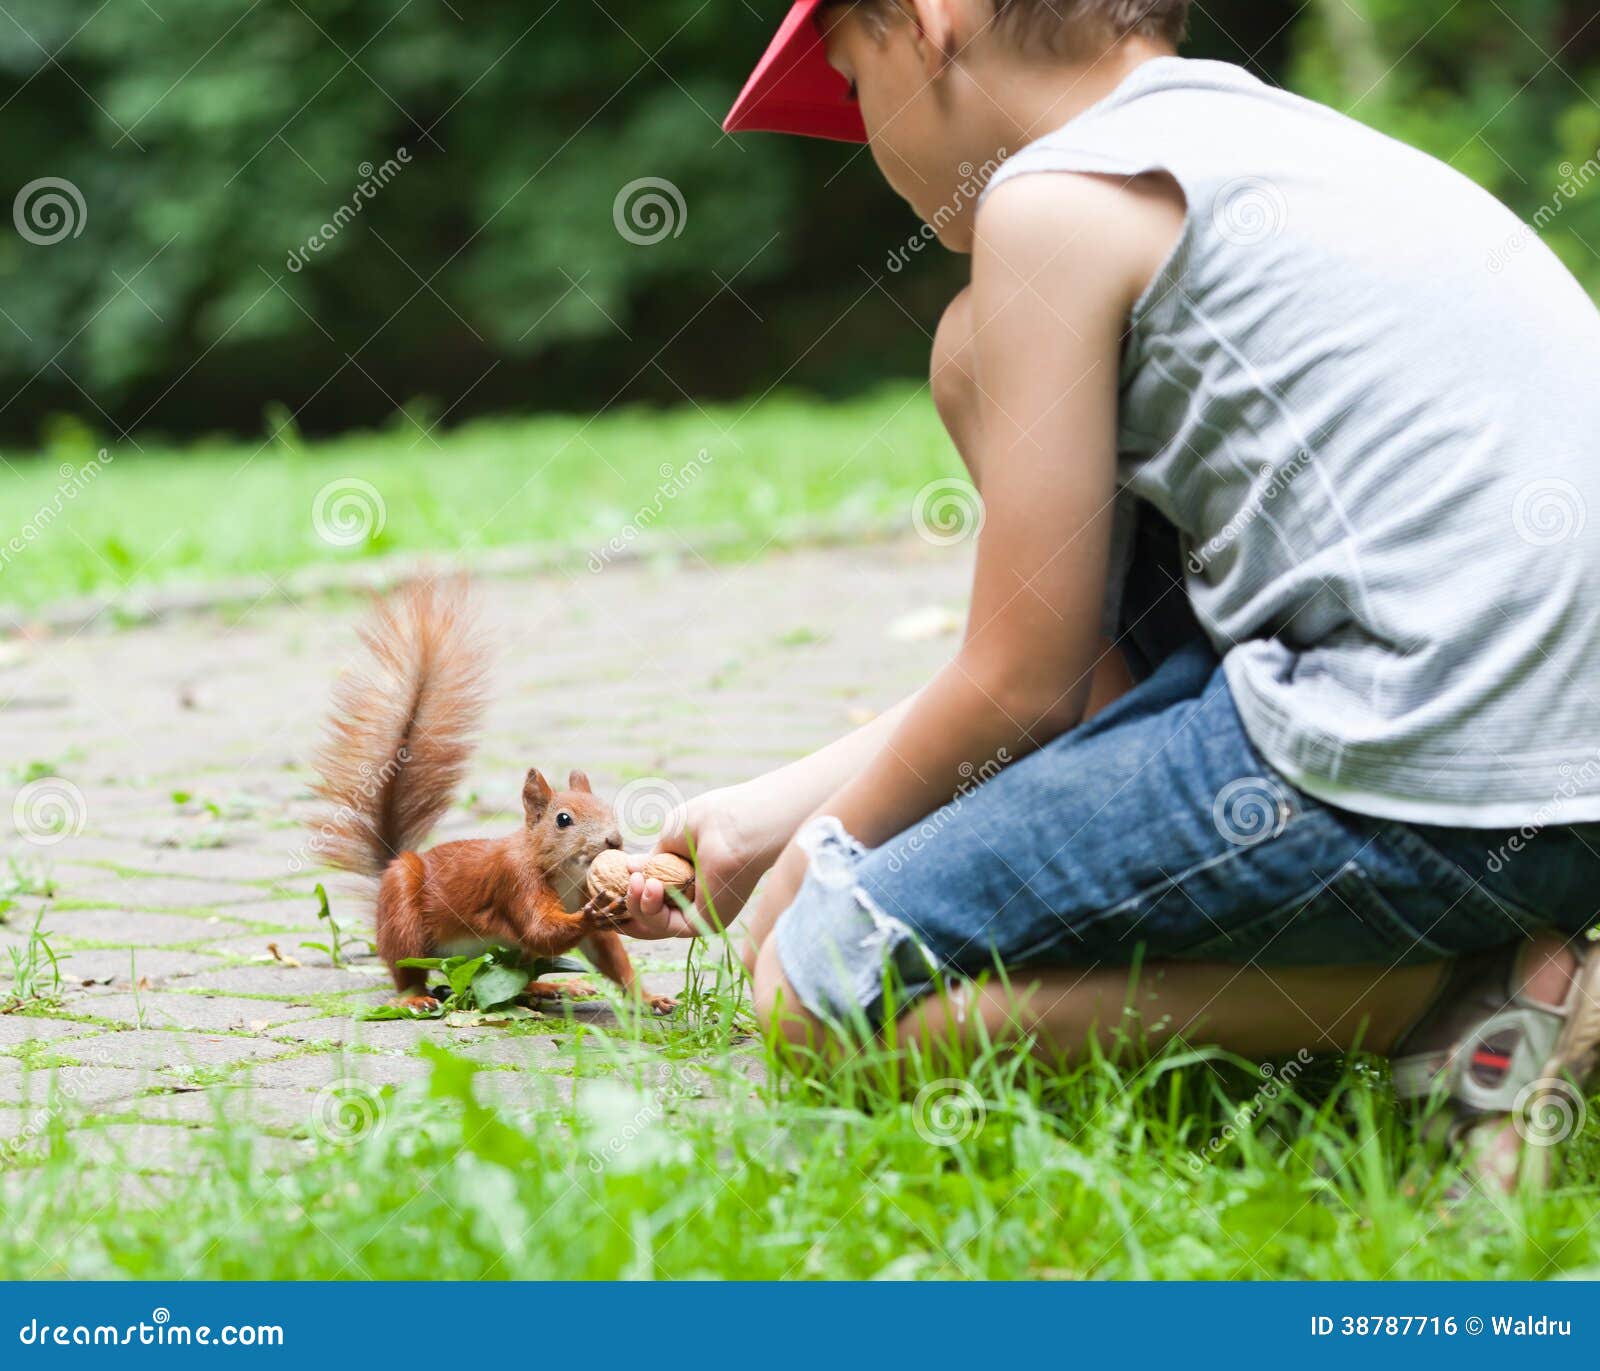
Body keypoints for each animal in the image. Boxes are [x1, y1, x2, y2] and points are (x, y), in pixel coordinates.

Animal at [306, 578, 673, 1015]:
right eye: (562, 819)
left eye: (608, 809)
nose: (613, 841)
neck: (566, 874)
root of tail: (390, 867)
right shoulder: (514, 882)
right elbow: (540, 928)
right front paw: (591, 917)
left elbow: (609, 955)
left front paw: (648, 997)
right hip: (404, 917)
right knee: (407, 970)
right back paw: (417, 998)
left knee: (522, 973)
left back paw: (551, 987)